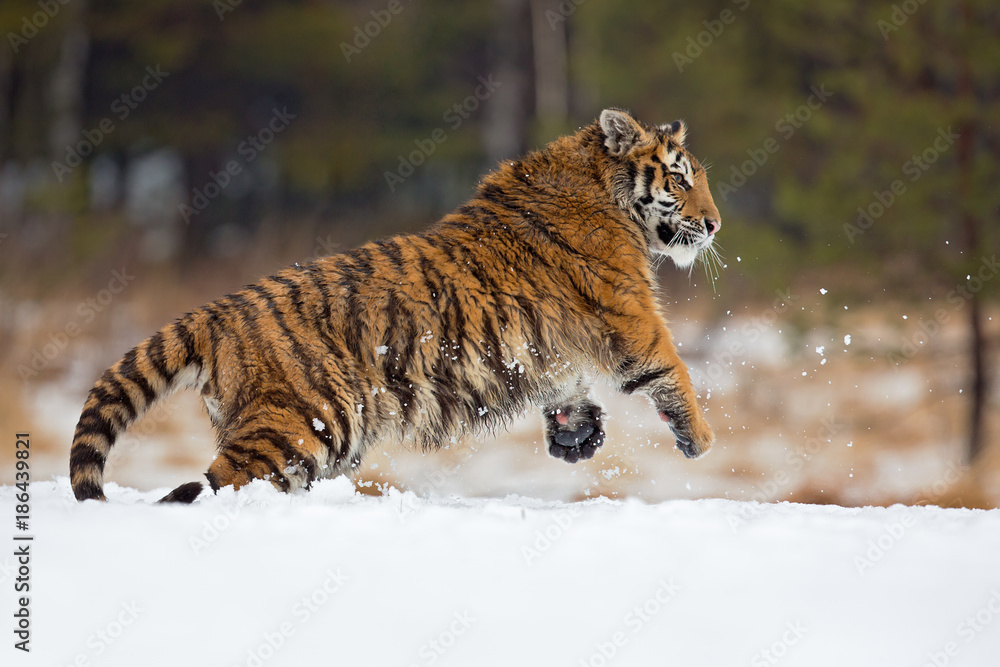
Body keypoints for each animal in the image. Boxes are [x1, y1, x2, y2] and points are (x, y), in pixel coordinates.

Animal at [70, 107, 722, 503]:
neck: (607, 193)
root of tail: (217, 311)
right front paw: (701, 438)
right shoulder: (631, 317)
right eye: (681, 179)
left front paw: (576, 436)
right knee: (220, 484)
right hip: (302, 421)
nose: (715, 224)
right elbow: (673, 368)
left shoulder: (559, 342)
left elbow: (569, 382)